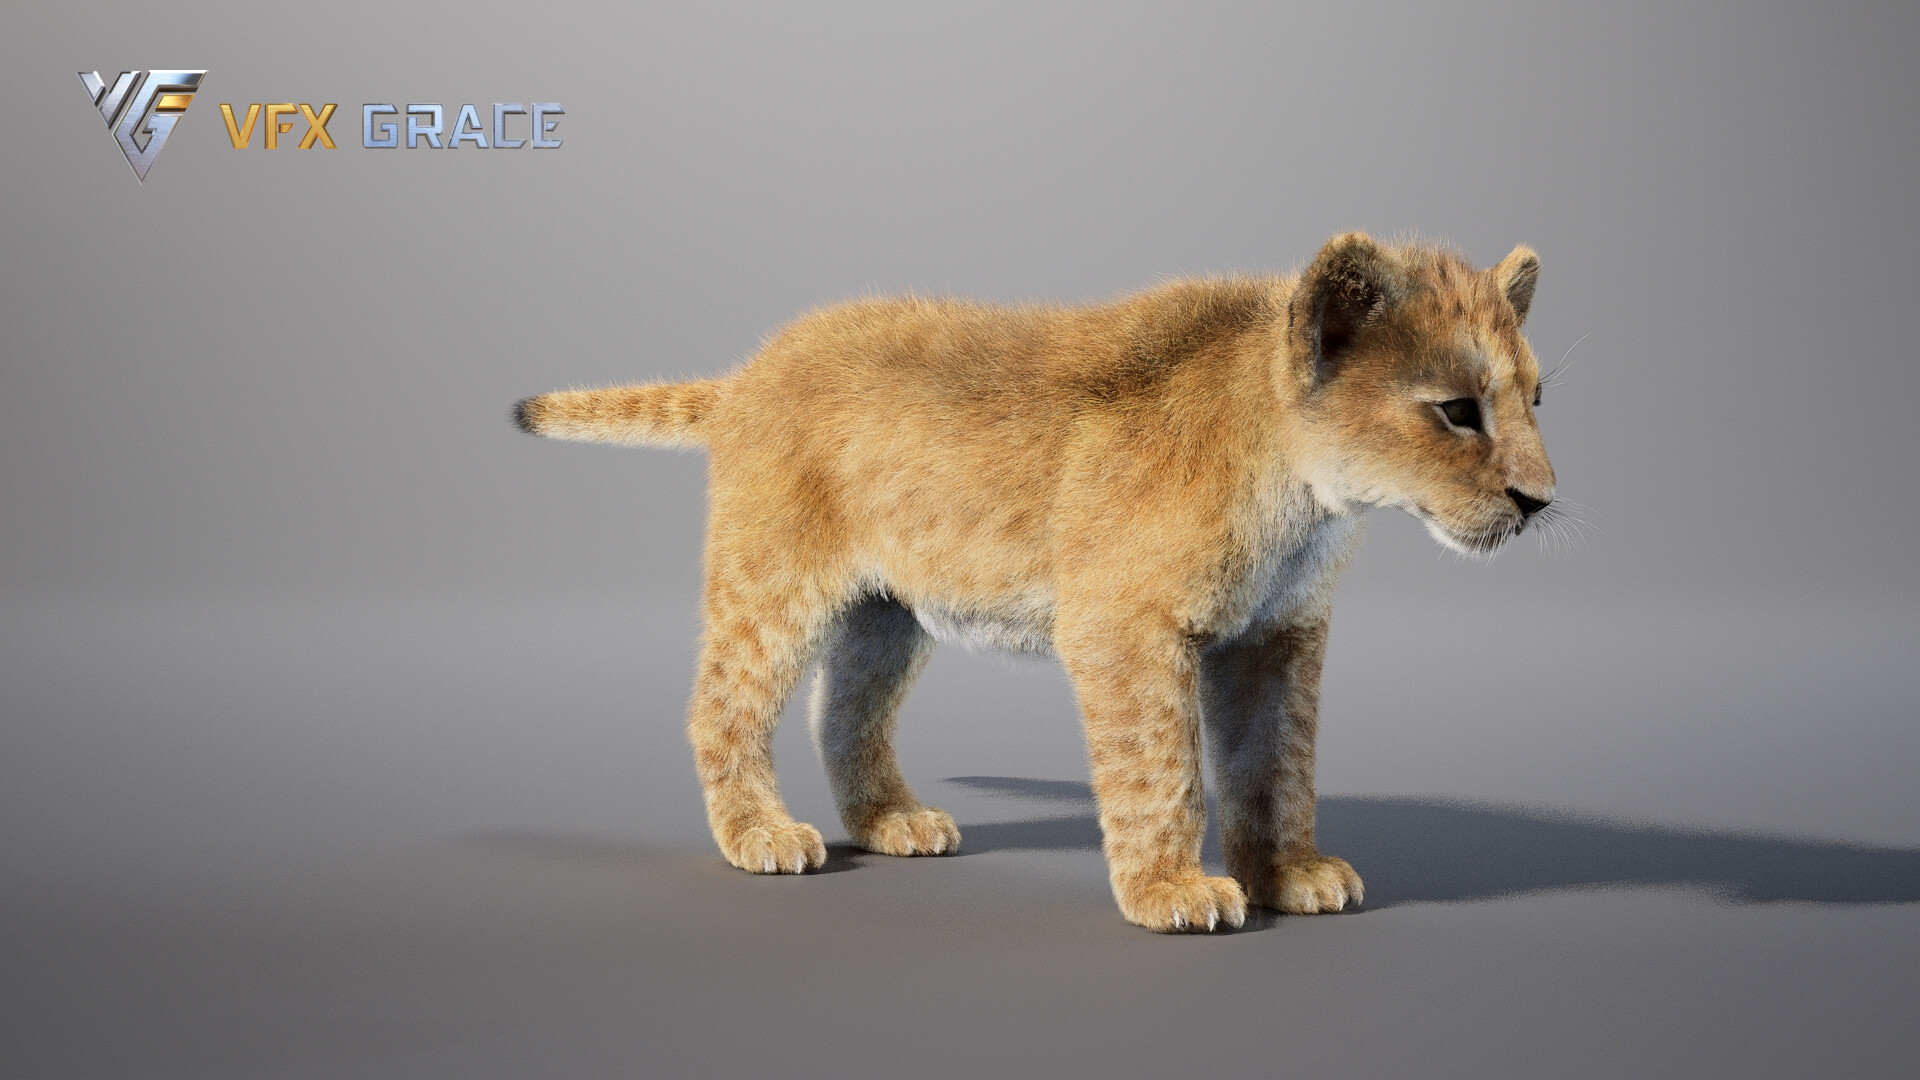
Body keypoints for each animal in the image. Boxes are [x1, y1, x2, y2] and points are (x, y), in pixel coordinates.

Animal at [514, 232, 1557, 932]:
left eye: (1537, 399)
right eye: (1457, 411)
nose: (1542, 501)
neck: (1306, 500)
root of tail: (747, 371)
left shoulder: (1280, 634)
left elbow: (1278, 763)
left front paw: (1290, 874)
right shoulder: (1123, 626)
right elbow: (1162, 769)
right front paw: (1172, 892)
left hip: (886, 611)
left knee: (841, 710)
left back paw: (891, 822)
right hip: (775, 578)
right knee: (722, 705)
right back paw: (761, 836)